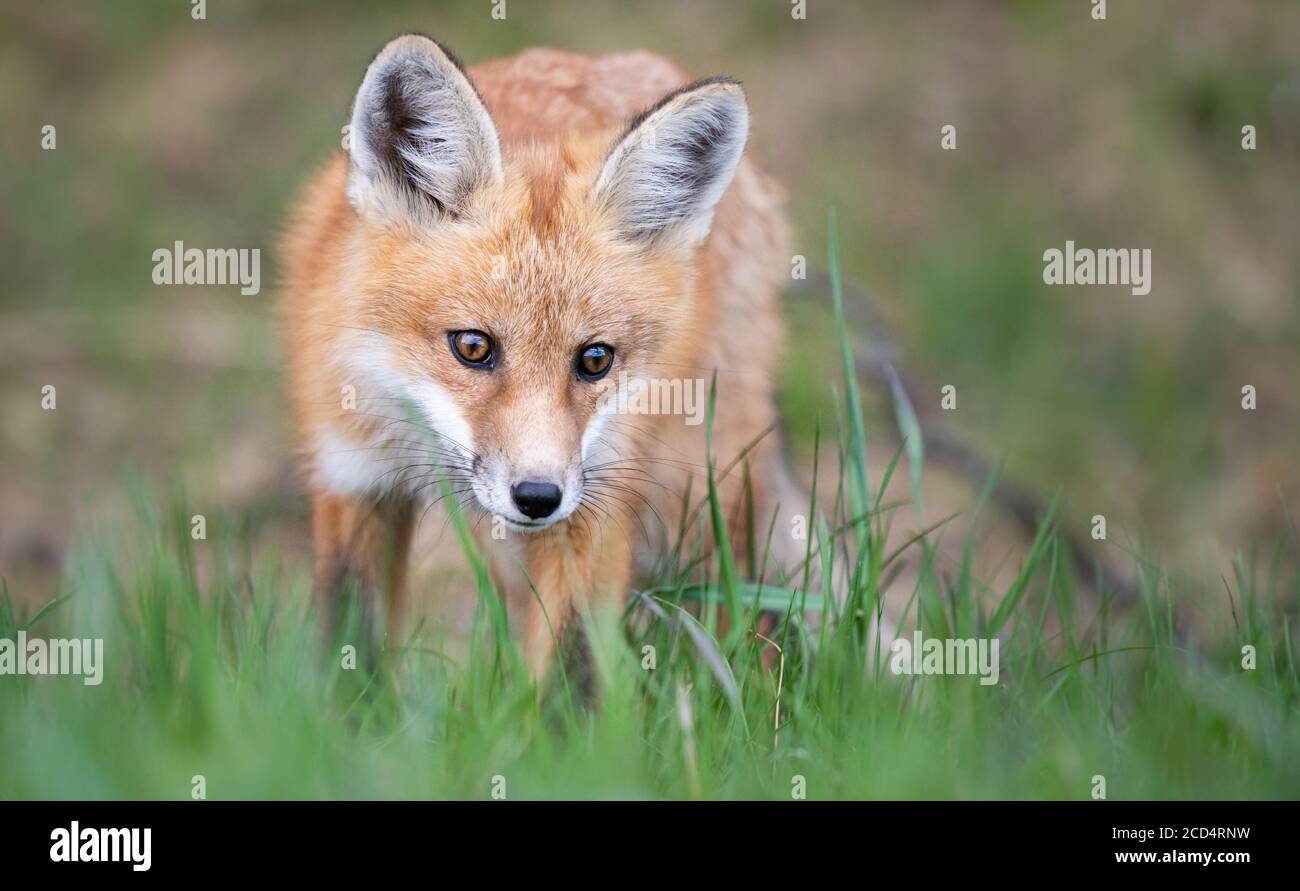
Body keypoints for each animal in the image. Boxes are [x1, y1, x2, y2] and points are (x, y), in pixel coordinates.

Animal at [281, 34, 808, 678]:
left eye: (596, 359)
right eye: (473, 346)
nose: (537, 498)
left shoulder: (592, 506)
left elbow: (570, 669)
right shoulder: (354, 478)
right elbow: (350, 645)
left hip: (701, 480)